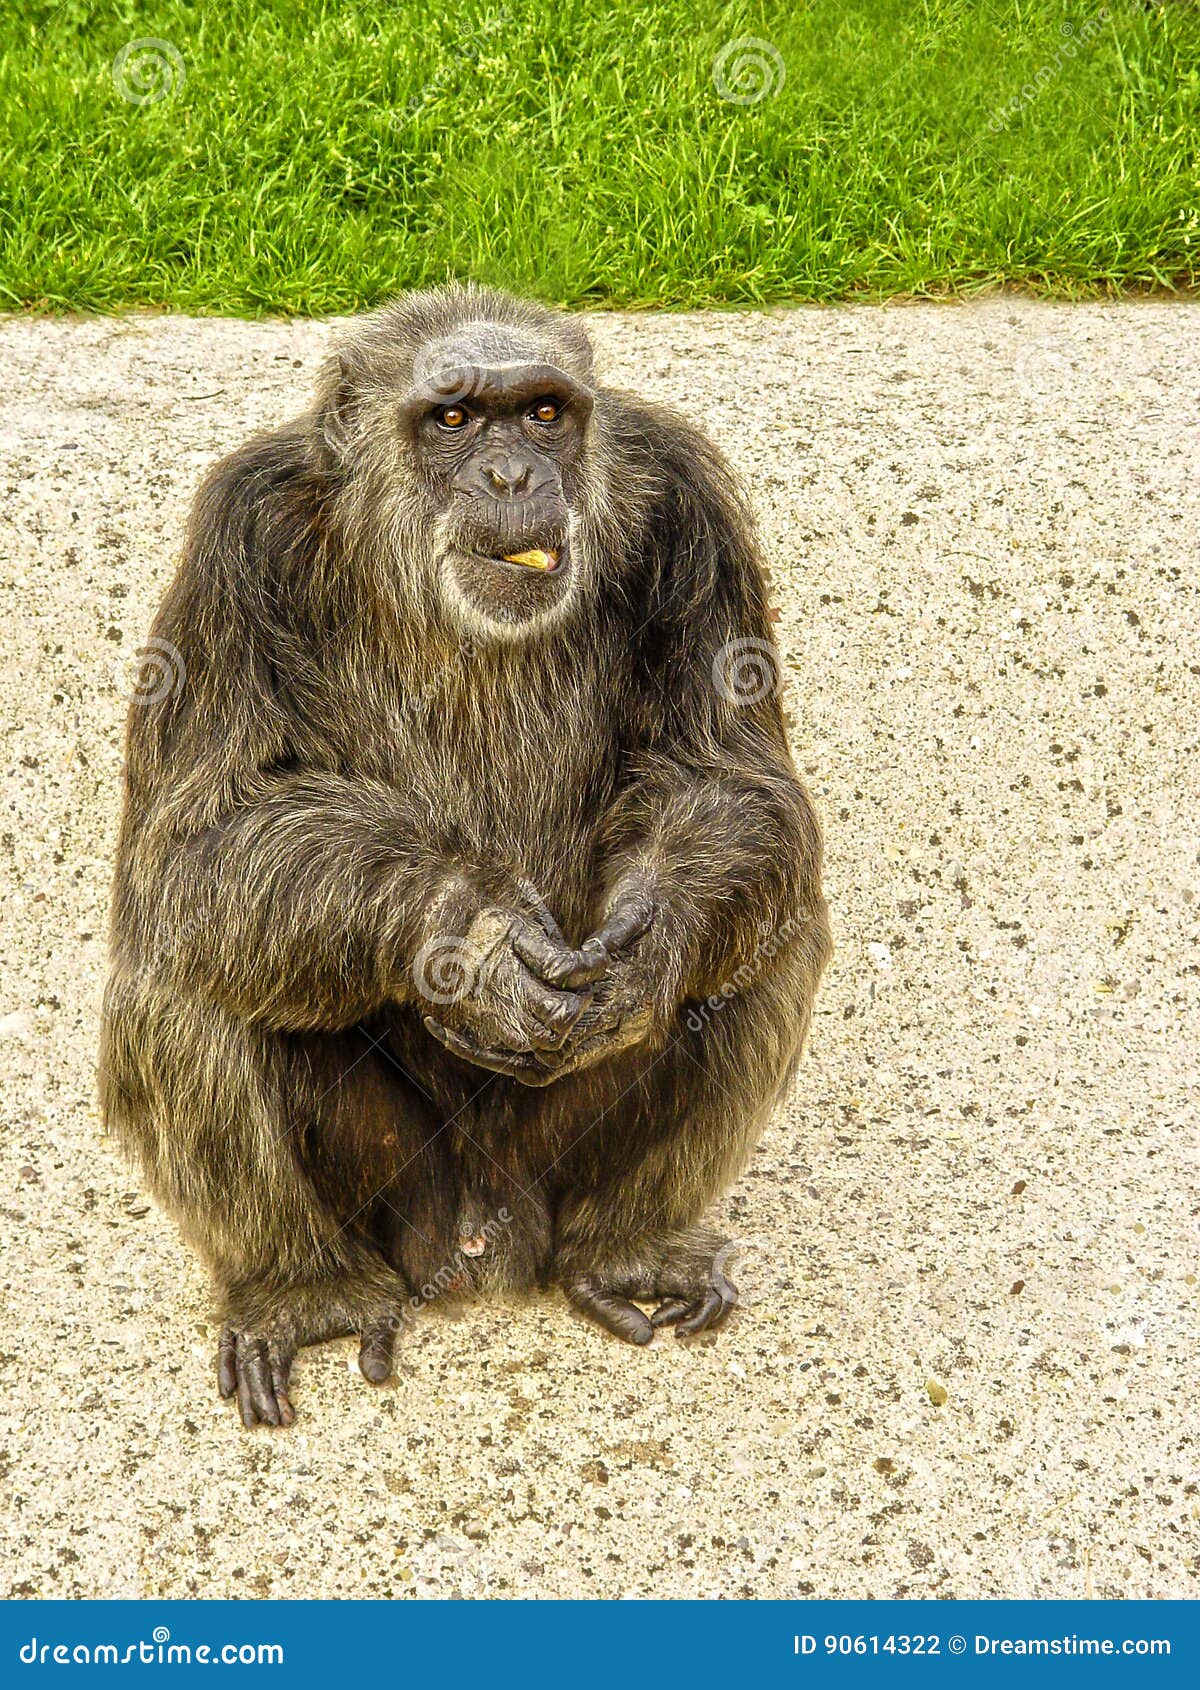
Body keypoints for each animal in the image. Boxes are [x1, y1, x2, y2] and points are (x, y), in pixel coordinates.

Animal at [99, 284, 831, 1428]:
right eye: (451, 419)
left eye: (542, 413)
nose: (512, 475)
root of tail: (486, 1237)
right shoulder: (235, 546)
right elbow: (198, 836)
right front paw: (473, 938)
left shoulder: (693, 507)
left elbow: (734, 779)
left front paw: (651, 946)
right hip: (404, 1193)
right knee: (183, 967)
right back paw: (300, 1289)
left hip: (550, 1164)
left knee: (766, 937)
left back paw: (626, 1246)